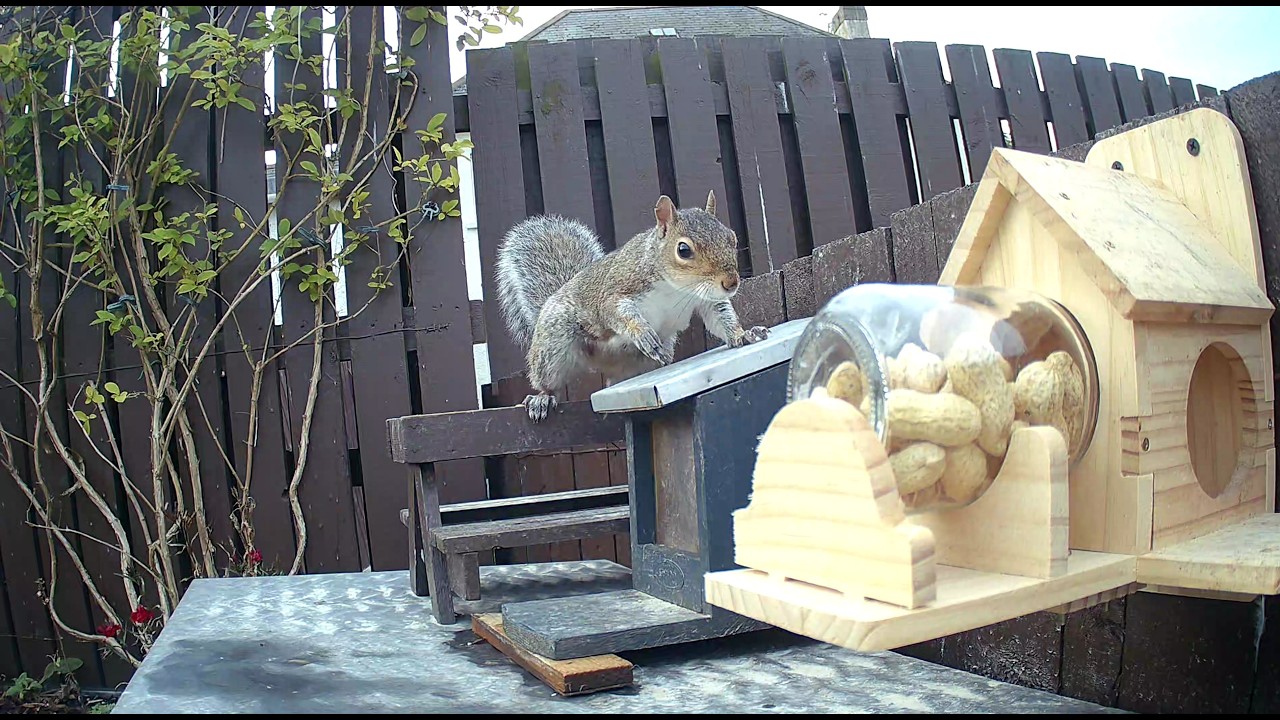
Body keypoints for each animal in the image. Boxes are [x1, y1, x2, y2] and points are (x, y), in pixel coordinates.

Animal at [495, 190, 771, 422]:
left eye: (731, 237)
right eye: (683, 249)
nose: (731, 282)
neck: (677, 288)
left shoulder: (707, 299)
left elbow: (722, 319)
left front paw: (744, 335)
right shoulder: (615, 292)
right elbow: (617, 313)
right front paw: (642, 333)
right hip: (553, 344)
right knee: (547, 378)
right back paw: (542, 398)